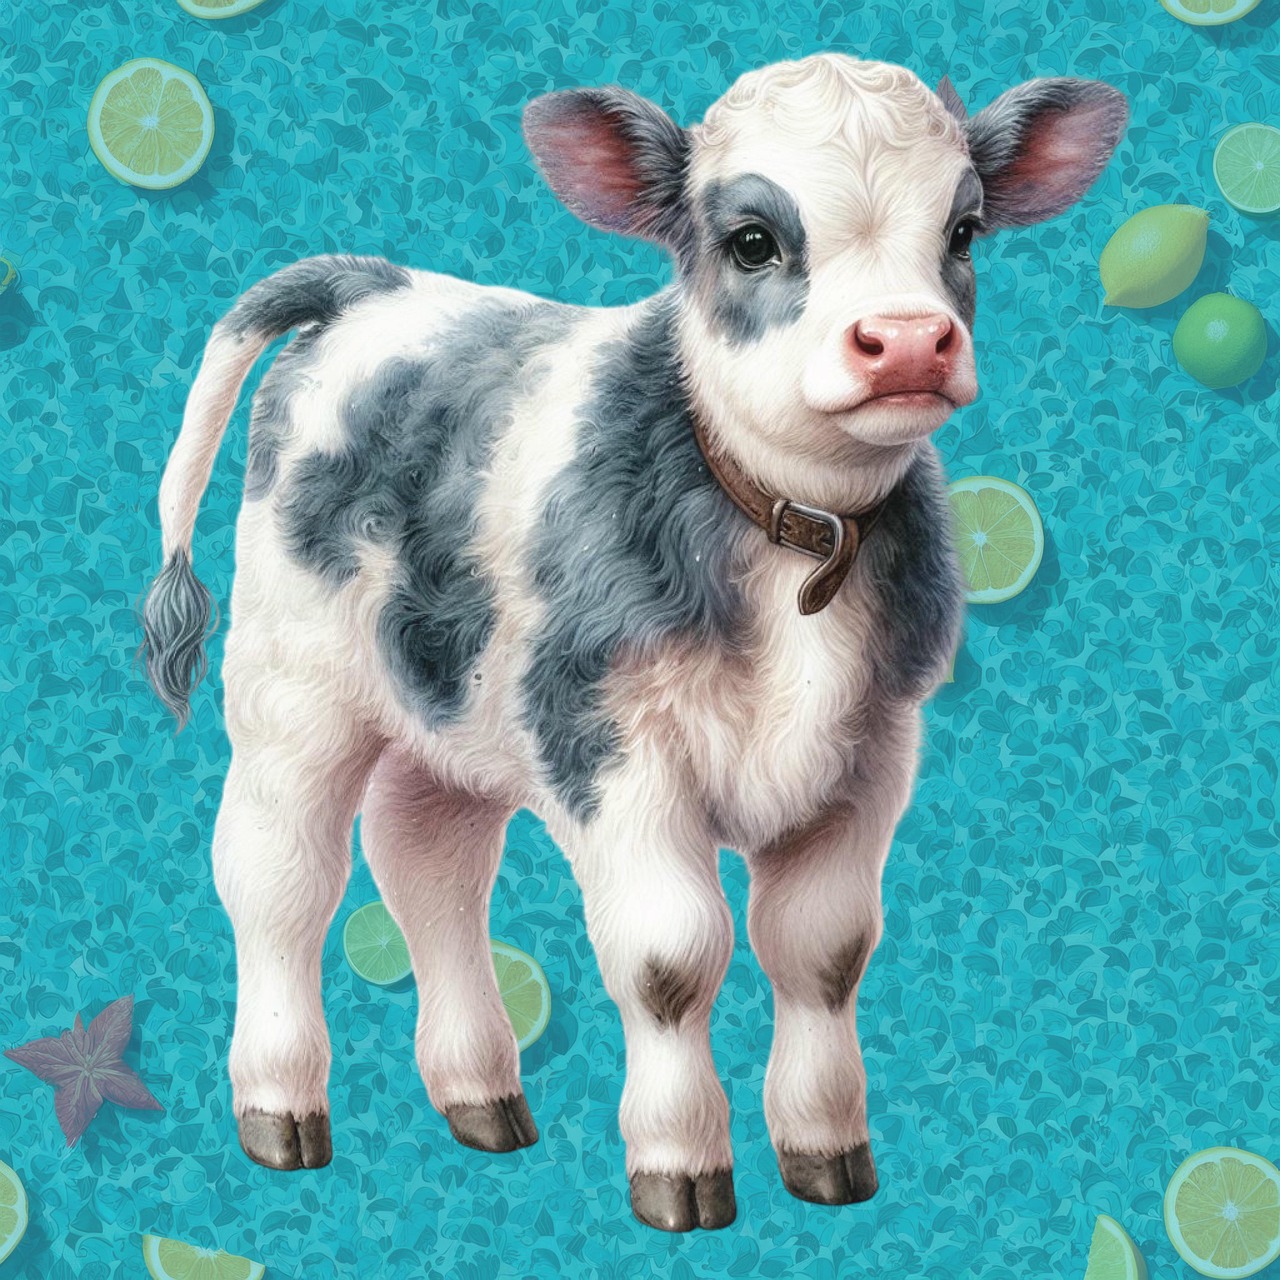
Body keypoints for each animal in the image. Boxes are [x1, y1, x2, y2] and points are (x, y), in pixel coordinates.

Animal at [141, 53, 1126, 1233]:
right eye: (750, 239)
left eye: (965, 230)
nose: (905, 342)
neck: (793, 535)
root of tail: (379, 286)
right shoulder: (611, 744)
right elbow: (670, 958)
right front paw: (680, 1165)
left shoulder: (870, 755)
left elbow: (823, 952)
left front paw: (827, 1151)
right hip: (294, 685)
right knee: (276, 876)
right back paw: (280, 1107)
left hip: (456, 702)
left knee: (428, 865)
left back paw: (481, 1096)